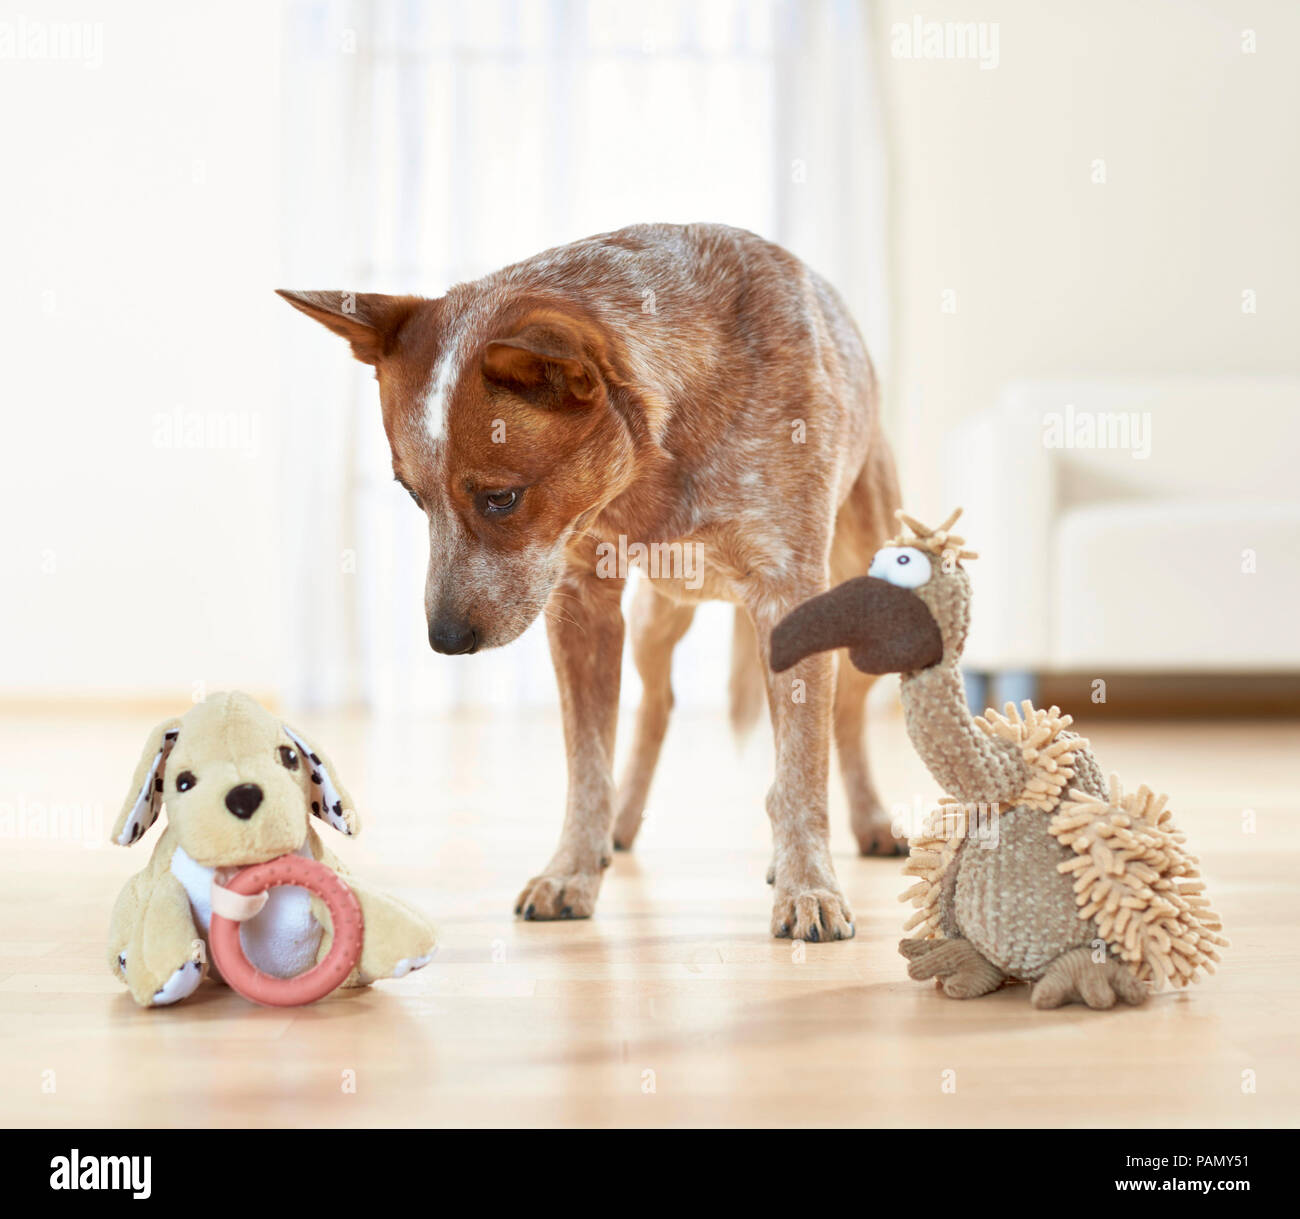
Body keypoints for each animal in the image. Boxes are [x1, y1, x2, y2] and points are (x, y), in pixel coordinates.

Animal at [106, 691, 431, 1003]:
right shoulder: (169, 880)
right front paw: (170, 974)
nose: (244, 796)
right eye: (183, 782)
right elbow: (164, 910)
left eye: (290, 757)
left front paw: (409, 941)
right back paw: (126, 959)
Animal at [279, 220, 899, 940]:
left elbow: (802, 764)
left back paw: (872, 824)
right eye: (412, 495)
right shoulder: (581, 600)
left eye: (501, 498)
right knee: (658, 704)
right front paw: (571, 870)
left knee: (845, 717)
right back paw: (623, 827)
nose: (446, 639)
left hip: (867, 591)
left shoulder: (789, 592)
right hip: (662, 614)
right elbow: (588, 762)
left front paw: (808, 886)